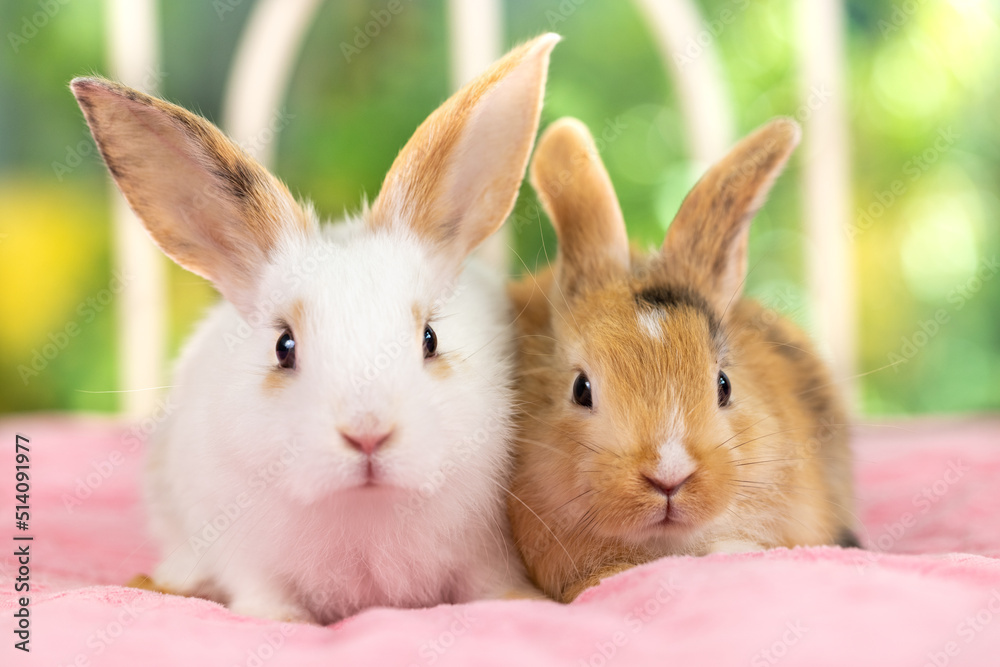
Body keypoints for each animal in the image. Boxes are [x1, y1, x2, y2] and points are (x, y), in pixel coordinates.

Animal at [71, 32, 559, 623]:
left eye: (431, 339)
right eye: (284, 346)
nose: (368, 433)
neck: (365, 512)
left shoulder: (487, 556)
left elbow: (492, 586)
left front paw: (524, 602)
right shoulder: (242, 553)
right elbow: (264, 594)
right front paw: (280, 621)